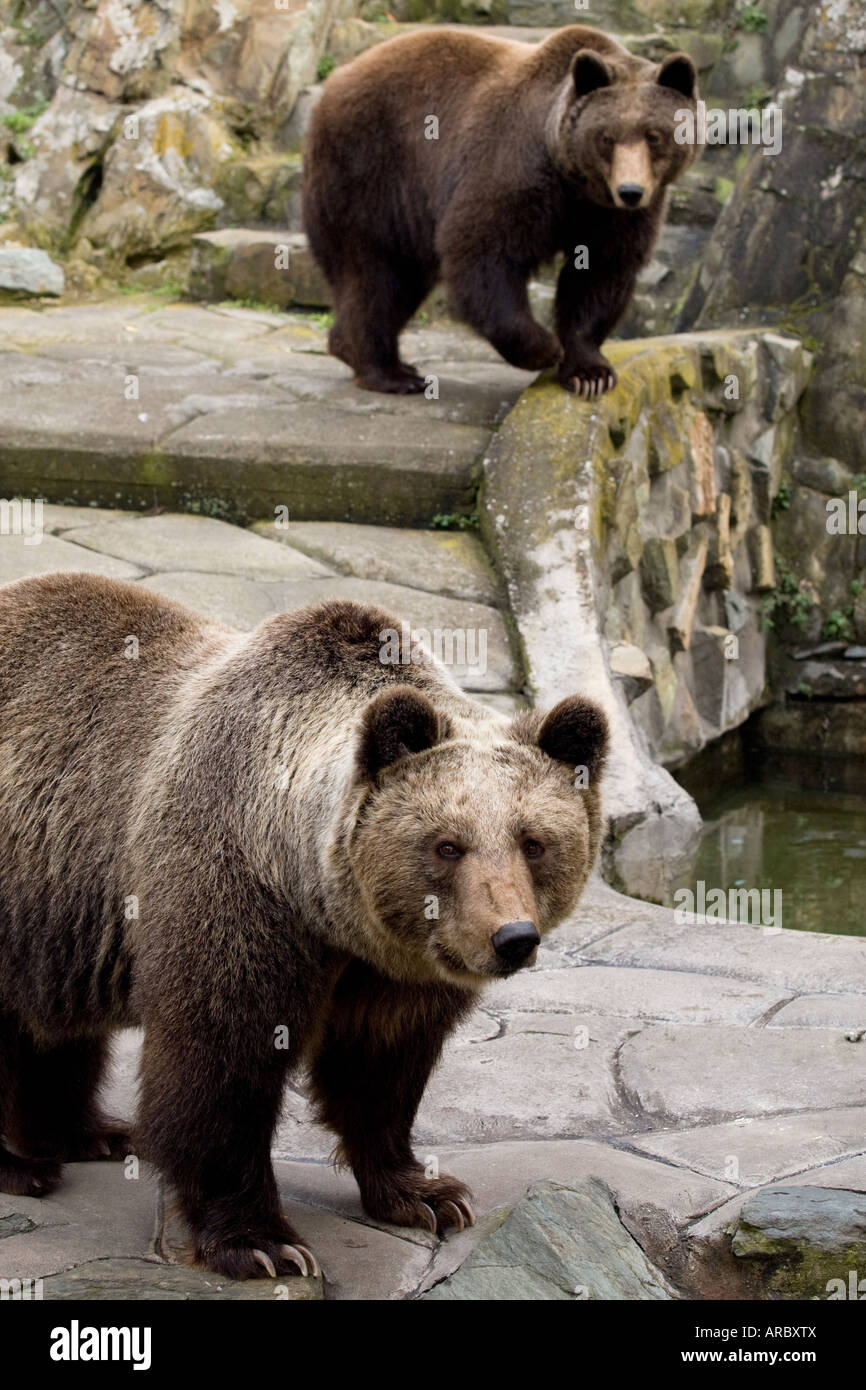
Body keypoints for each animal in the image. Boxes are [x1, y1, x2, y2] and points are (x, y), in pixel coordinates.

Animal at [0, 573, 608, 1279]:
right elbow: (220, 1062)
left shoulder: (390, 963)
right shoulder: (235, 896)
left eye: (533, 842)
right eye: (448, 845)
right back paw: (22, 1168)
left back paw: (90, 1132)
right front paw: (260, 1241)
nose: (511, 937)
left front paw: (426, 1193)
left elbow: (381, 1064)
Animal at [302, 24, 698, 398]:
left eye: (654, 136)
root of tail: (334, 82)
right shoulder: (514, 170)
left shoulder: (614, 215)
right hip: (370, 171)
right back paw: (388, 372)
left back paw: (364, 354)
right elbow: (483, 253)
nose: (630, 191)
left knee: (402, 279)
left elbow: (602, 270)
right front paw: (545, 348)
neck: (573, 180)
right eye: (606, 137)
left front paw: (590, 373)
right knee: (373, 271)